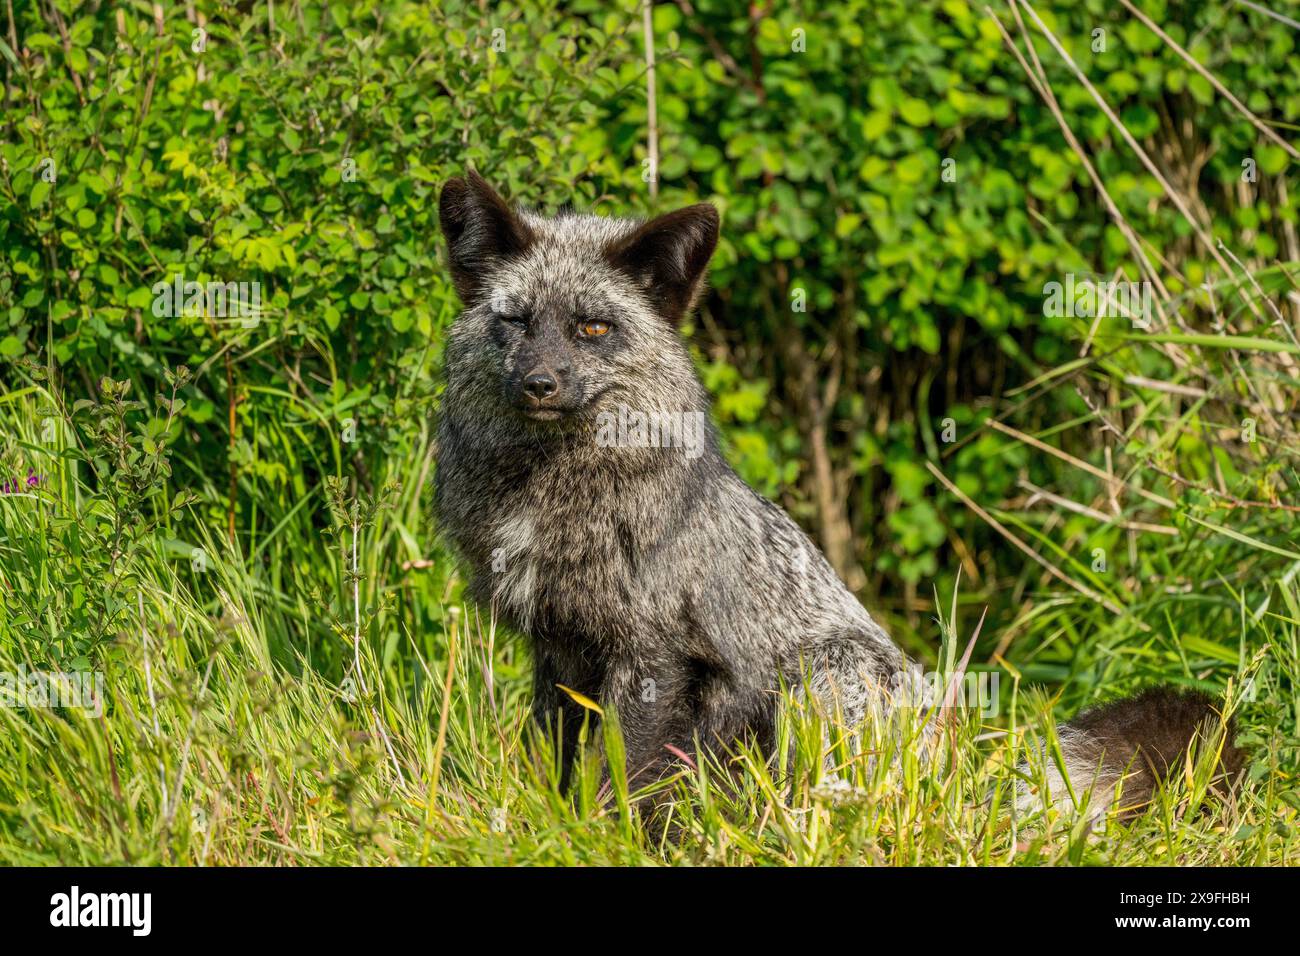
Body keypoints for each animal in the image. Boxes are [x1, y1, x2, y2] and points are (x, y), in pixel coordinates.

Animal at [433, 170, 1243, 823]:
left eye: (593, 328)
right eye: (515, 322)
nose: (539, 384)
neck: (554, 500)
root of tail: (951, 776)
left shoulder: (654, 654)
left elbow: (622, 780)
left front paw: (614, 838)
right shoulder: (558, 651)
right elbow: (556, 762)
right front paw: (550, 828)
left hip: (818, 677)